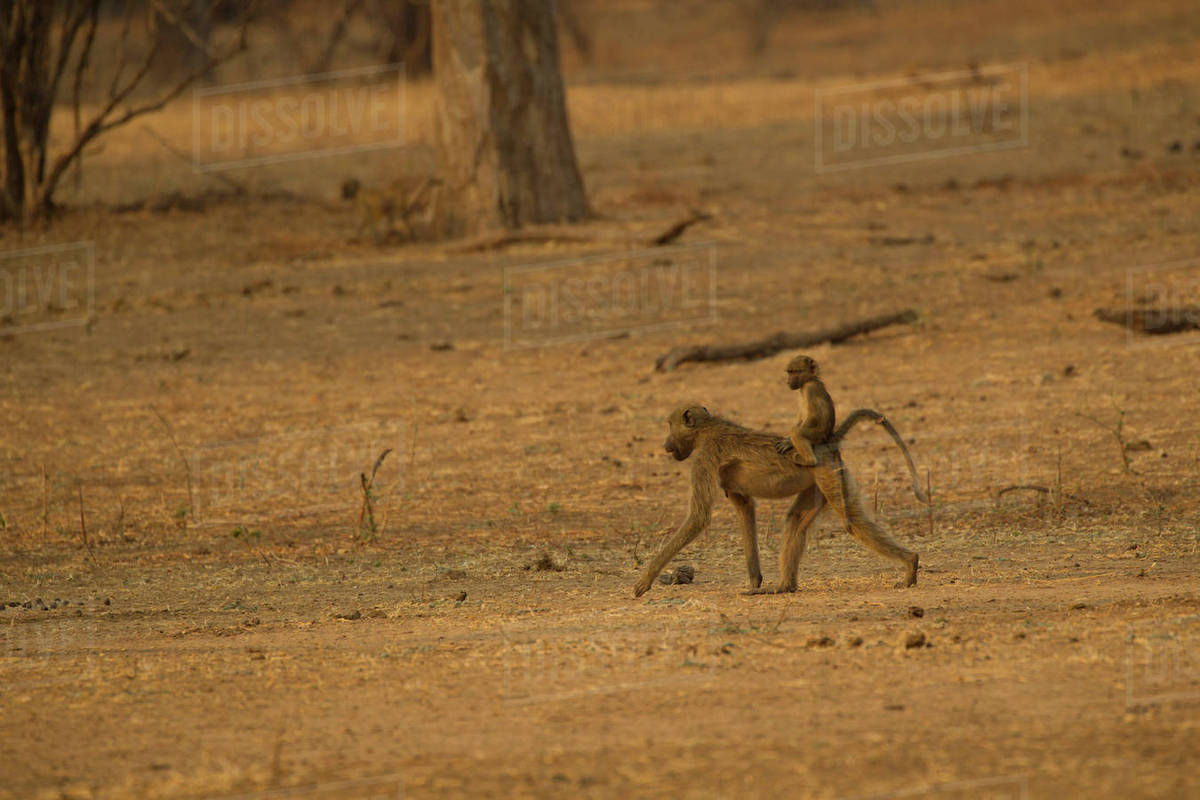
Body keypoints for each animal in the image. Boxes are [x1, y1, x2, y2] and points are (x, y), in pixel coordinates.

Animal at [633, 404, 922, 598]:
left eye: (670, 426)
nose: (665, 444)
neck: (706, 430)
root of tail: (825, 443)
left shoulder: (704, 458)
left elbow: (698, 518)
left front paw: (646, 579)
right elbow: (745, 509)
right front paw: (754, 582)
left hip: (828, 473)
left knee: (853, 522)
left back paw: (910, 564)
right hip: (819, 482)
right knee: (795, 520)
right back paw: (784, 587)